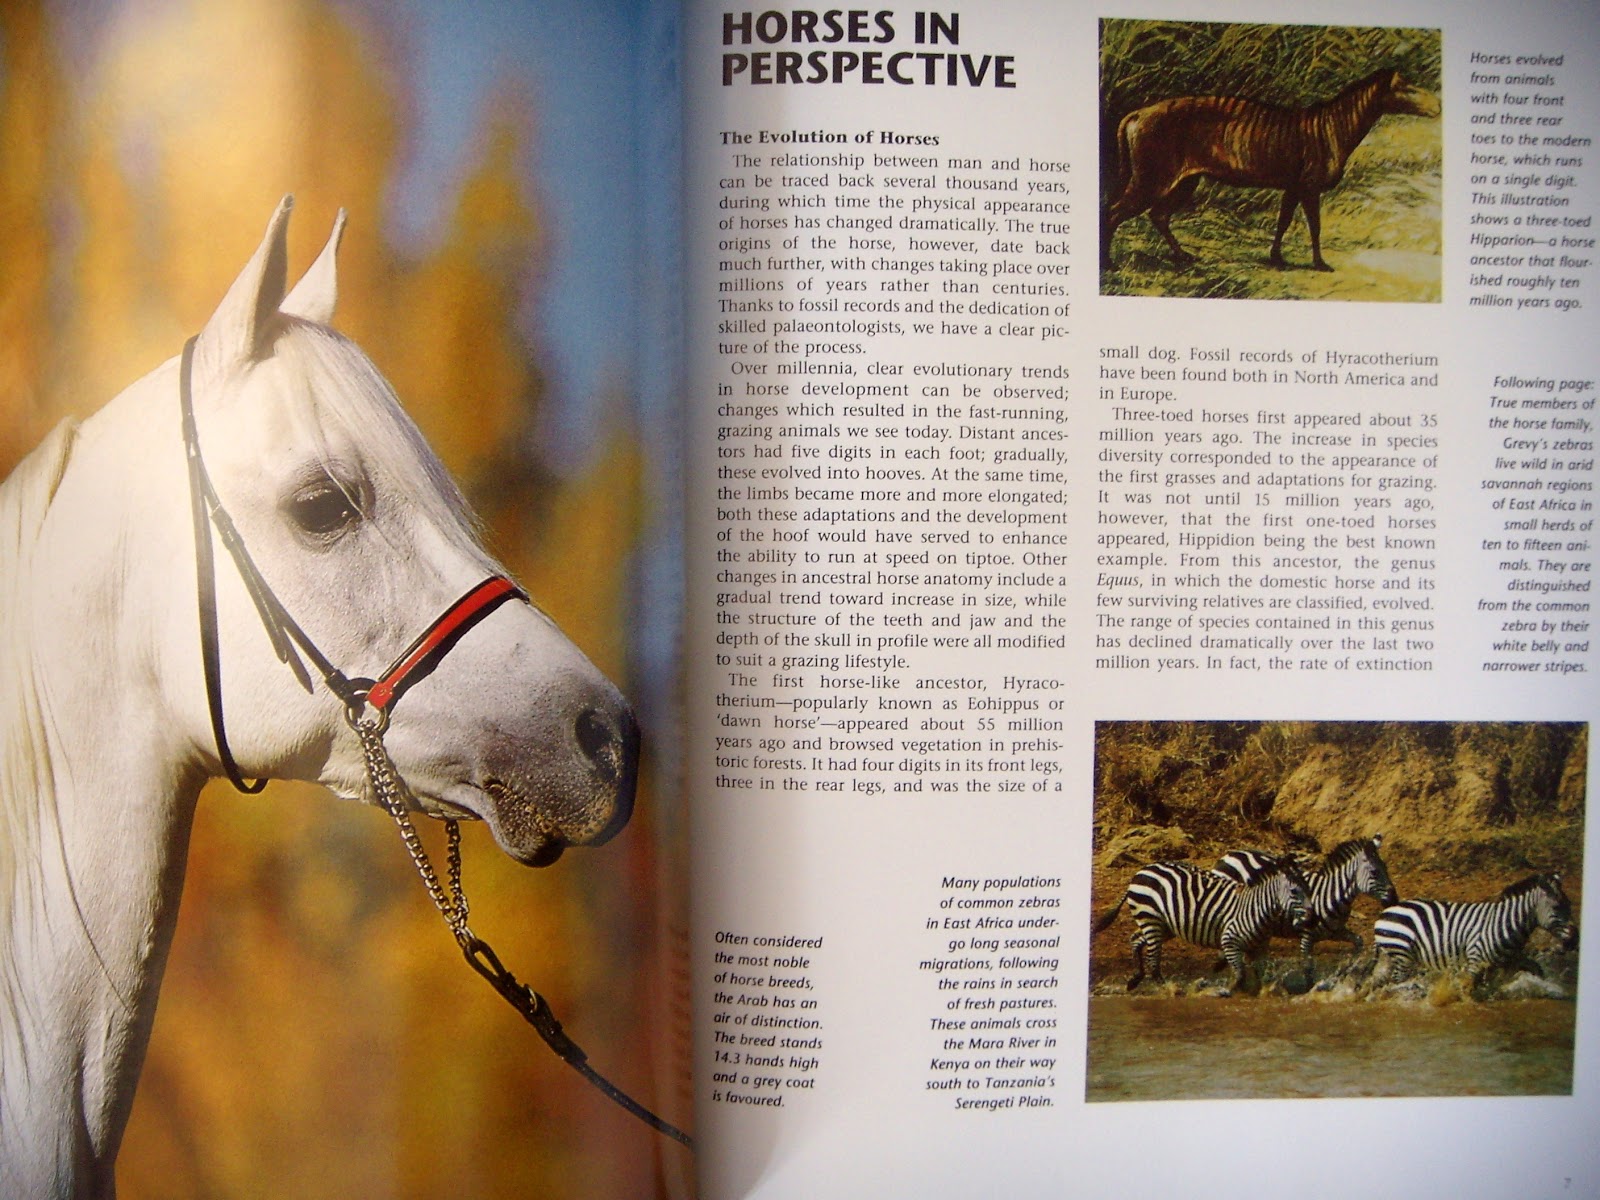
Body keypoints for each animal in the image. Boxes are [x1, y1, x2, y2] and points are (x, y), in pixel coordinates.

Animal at [1101, 67, 1440, 271]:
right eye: (1408, 89)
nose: (1437, 105)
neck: (1334, 125)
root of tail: (1136, 114)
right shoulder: (1309, 186)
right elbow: (1314, 226)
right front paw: (1320, 263)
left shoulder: (1292, 186)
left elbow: (1283, 222)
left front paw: (1276, 257)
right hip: (1154, 177)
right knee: (1115, 212)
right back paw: (1108, 263)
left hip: (1186, 181)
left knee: (1157, 215)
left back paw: (1184, 256)